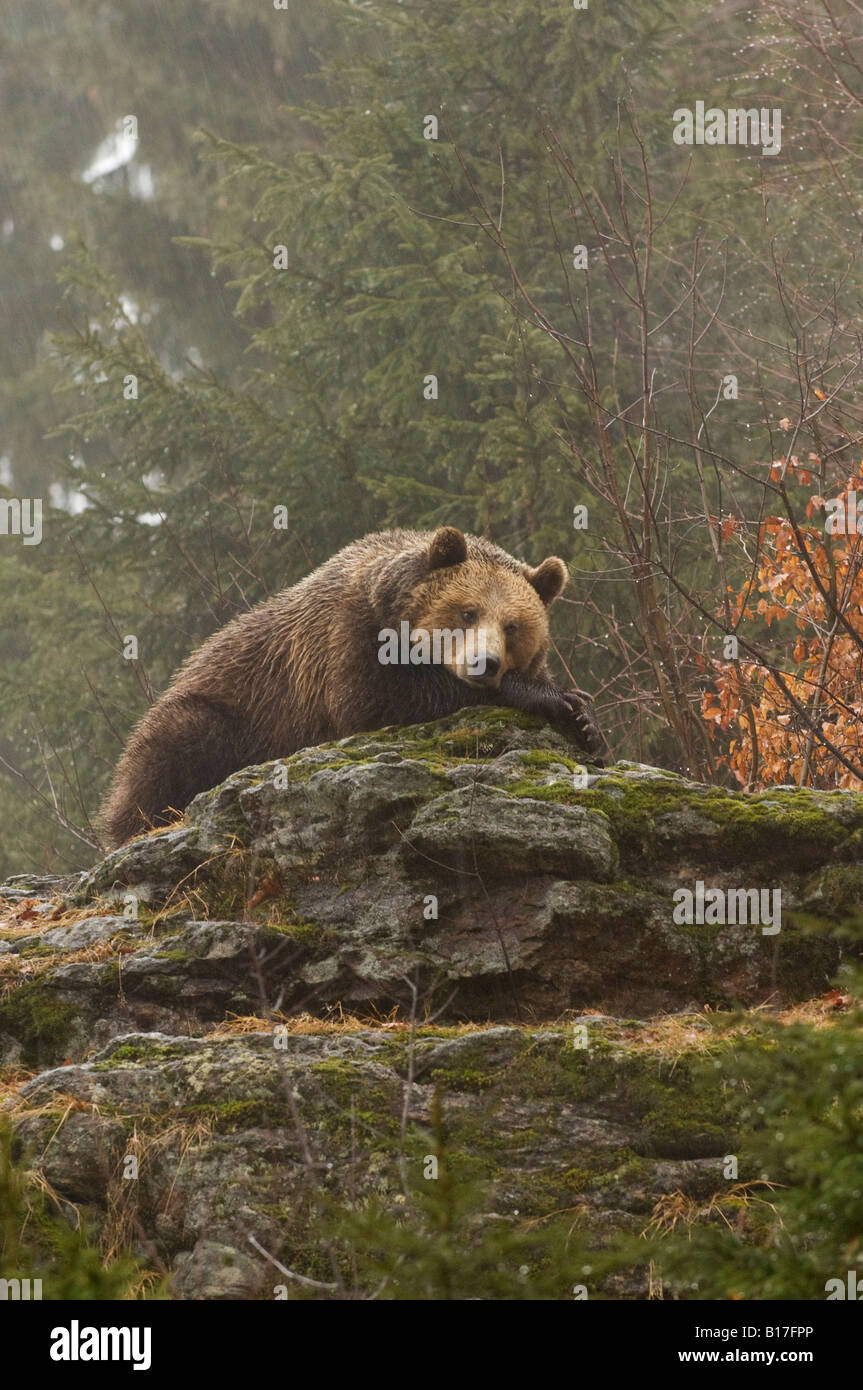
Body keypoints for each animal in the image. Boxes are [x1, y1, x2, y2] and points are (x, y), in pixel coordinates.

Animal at [98, 526, 606, 846]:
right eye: (468, 612)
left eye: (513, 625)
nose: (486, 663)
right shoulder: (345, 640)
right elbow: (376, 704)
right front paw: (556, 699)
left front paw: (587, 724)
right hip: (218, 711)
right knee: (168, 753)